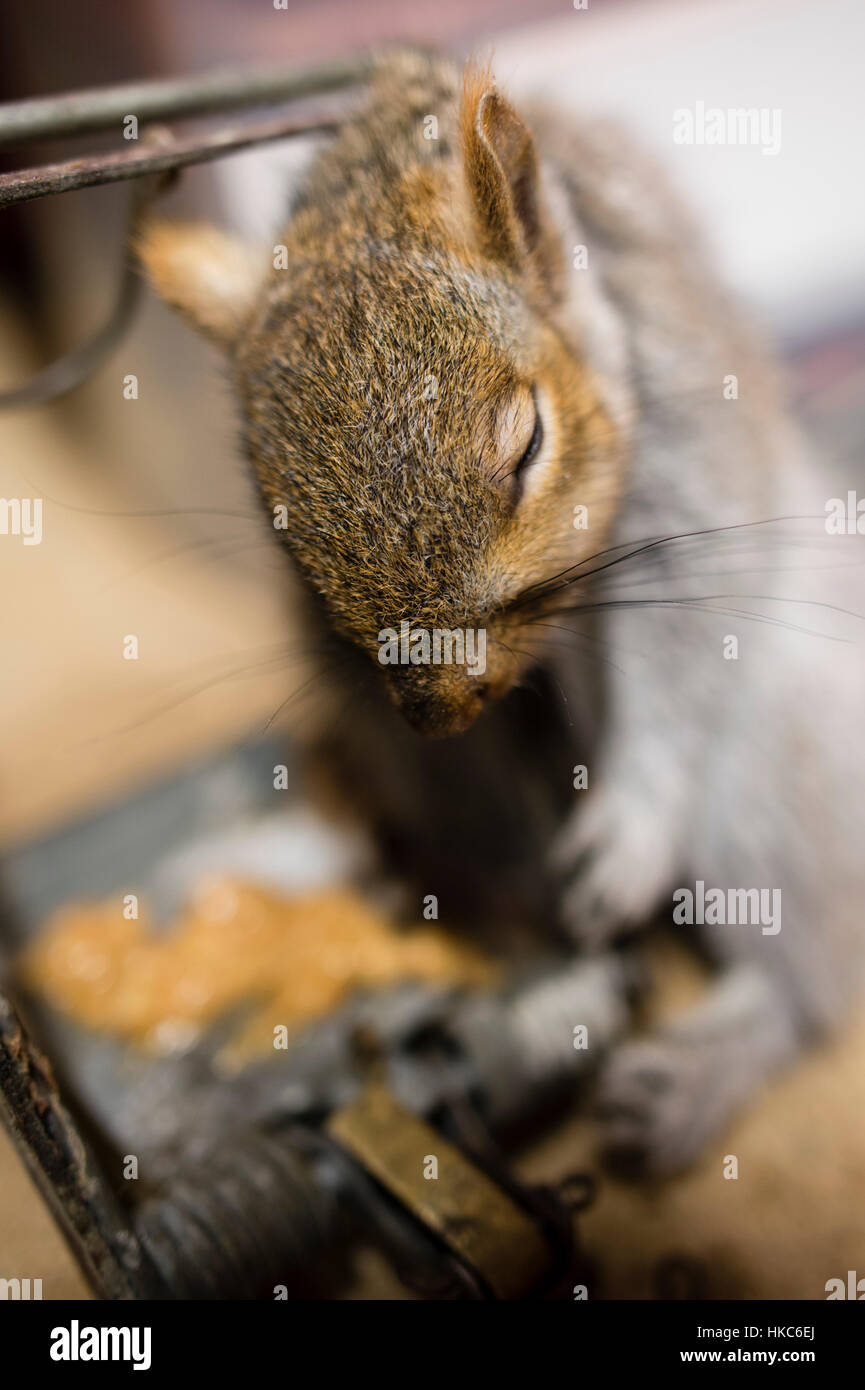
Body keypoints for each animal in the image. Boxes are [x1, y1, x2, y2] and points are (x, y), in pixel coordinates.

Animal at [137, 50, 865, 1176]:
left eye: (525, 446)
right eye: (272, 501)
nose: (442, 709)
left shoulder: (684, 457)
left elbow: (681, 647)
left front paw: (624, 837)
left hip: (770, 772)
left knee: (801, 979)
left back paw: (696, 1066)